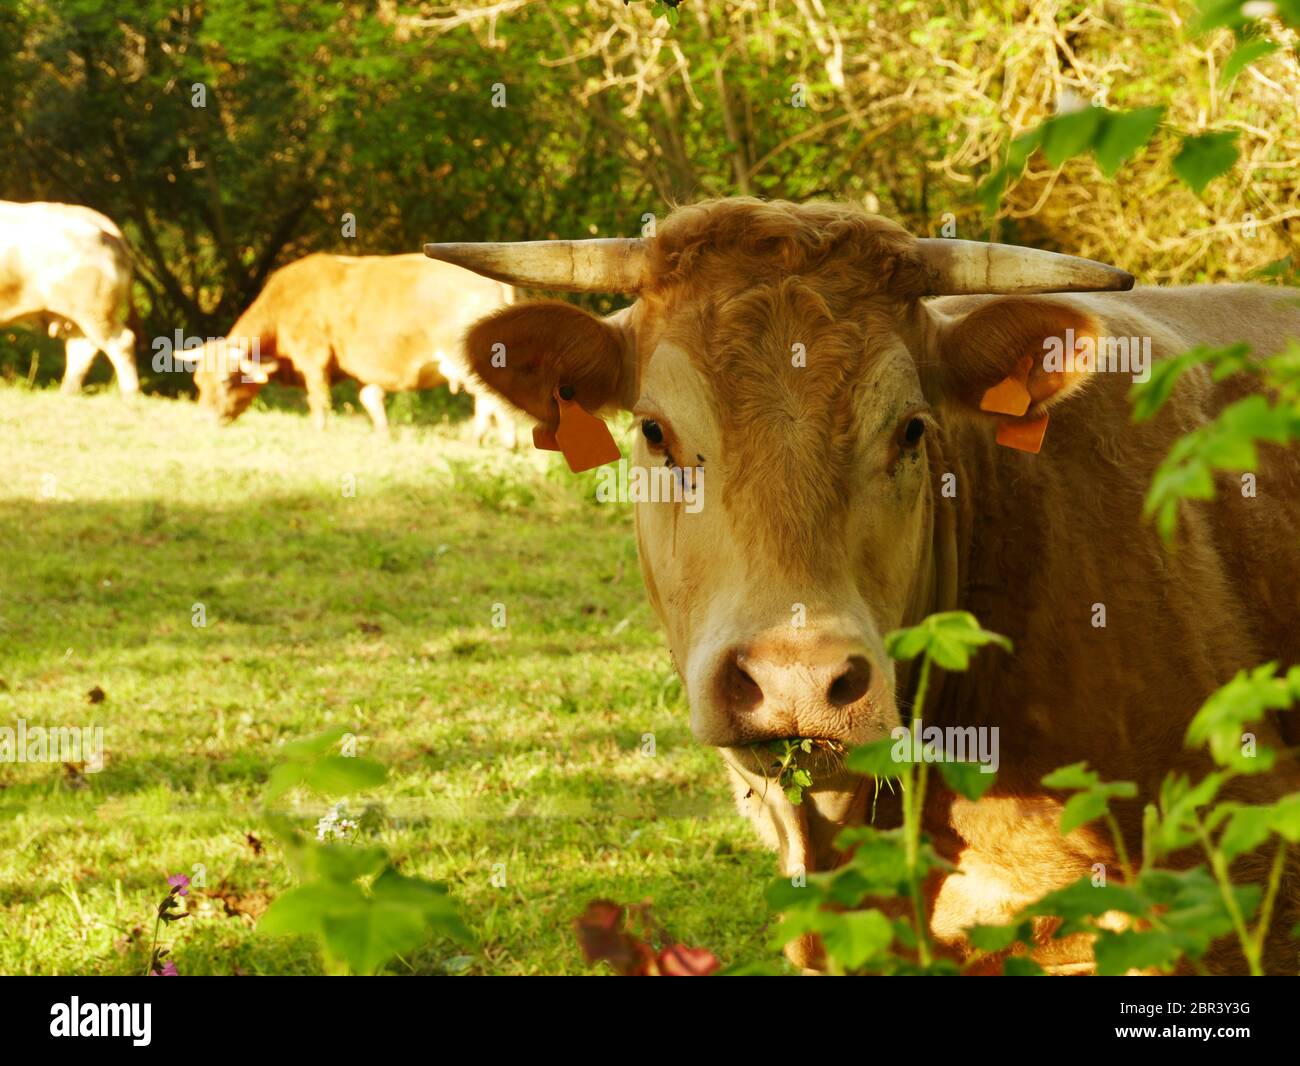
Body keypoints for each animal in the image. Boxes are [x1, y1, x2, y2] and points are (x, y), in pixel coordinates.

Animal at [0, 200, 139, 395]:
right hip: (79, 314)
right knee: (81, 348)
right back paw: (66, 391)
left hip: (94, 308)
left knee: (120, 343)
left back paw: (130, 392)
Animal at [192, 252, 519, 444]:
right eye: (198, 381)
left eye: (225, 380)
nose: (204, 419)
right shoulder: (365, 369)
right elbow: (370, 398)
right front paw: (382, 433)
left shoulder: (313, 357)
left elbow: (318, 398)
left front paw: (319, 430)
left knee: (490, 401)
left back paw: (504, 441)